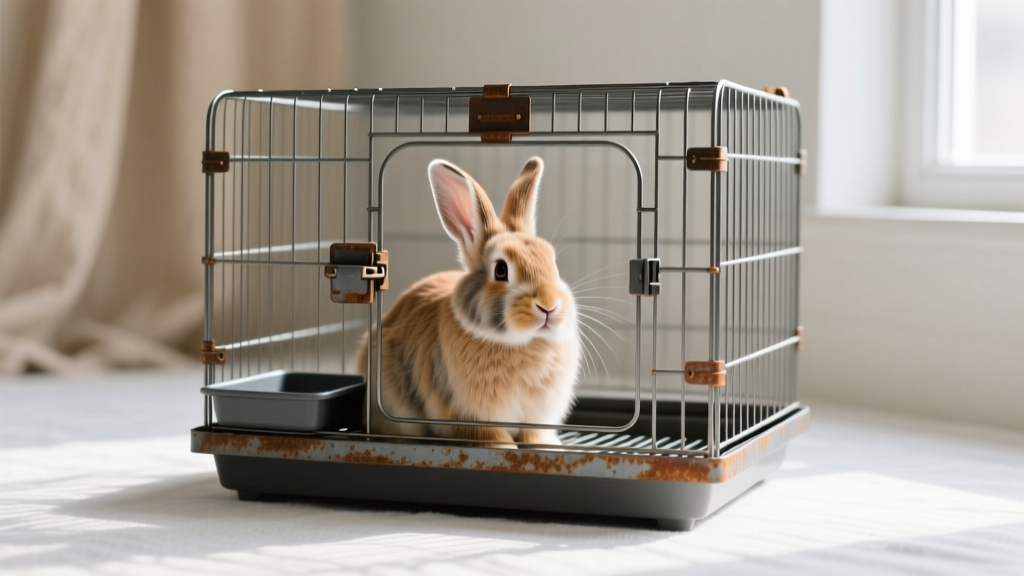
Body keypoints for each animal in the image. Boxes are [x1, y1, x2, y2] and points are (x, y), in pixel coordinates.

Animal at [358, 157, 580, 448]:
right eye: (501, 270)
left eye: (553, 262)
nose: (549, 305)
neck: (523, 343)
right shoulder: (468, 416)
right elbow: (491, 436)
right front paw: (505, 447)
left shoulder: (536, 417)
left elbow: (534, 435)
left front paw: (545, 445)